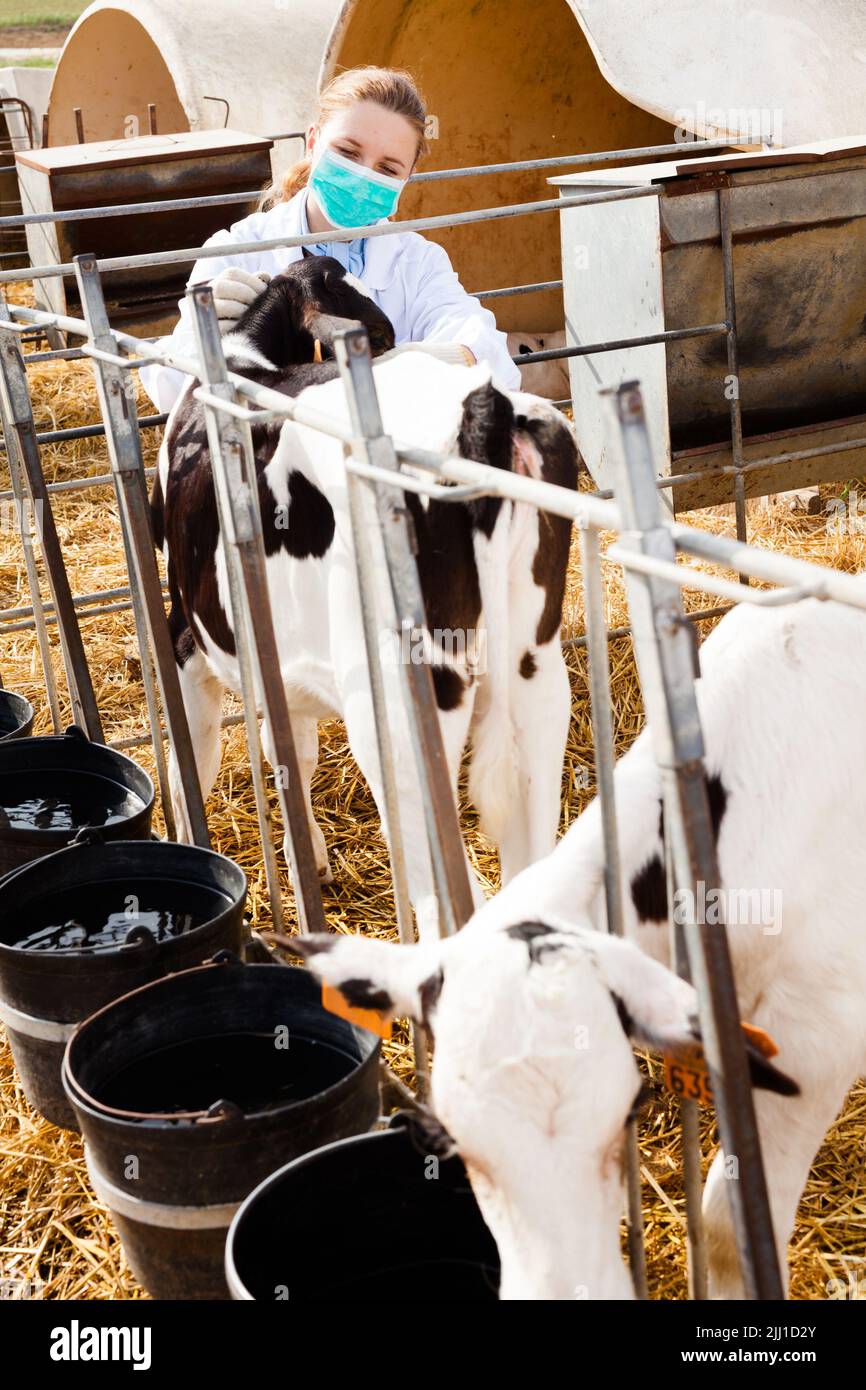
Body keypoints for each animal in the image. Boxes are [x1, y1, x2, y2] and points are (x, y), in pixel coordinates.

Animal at [152, 257, 579, 938]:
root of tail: (482, 411)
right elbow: (287, 752)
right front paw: (309, 863)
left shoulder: (189, 635)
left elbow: (196, 752)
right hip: (534, 676)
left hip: (401, 711)